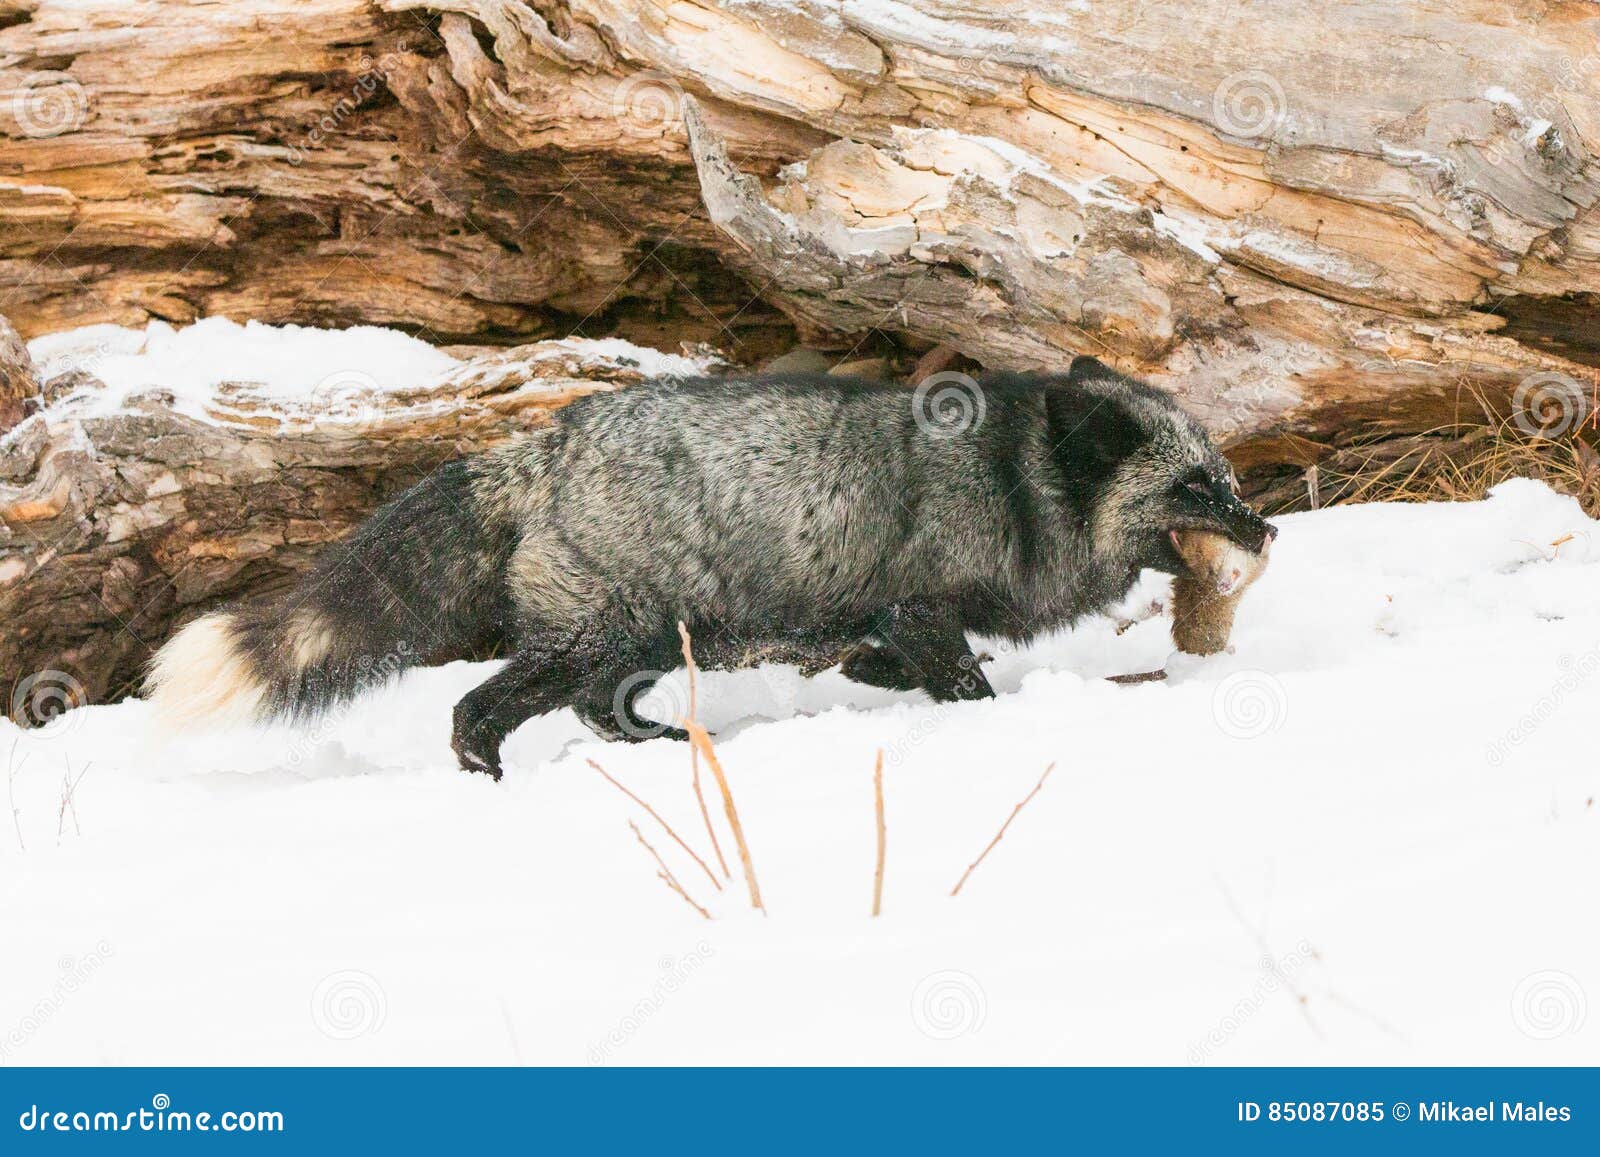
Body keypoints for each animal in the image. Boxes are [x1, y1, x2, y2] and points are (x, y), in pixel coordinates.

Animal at [145, 356, 1276, 778]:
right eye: (1196, 488)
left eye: (1226, 479)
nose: (1266, 532)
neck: (1013, 481)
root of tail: (544, 446)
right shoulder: (918, 603)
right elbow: (958, 678)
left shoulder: (894, 617)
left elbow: (886, 662)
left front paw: (873, 678)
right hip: (597, 635)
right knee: (479, 706)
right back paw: (489, 775)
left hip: (640, 643)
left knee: (597, 709)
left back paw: (663, 748)